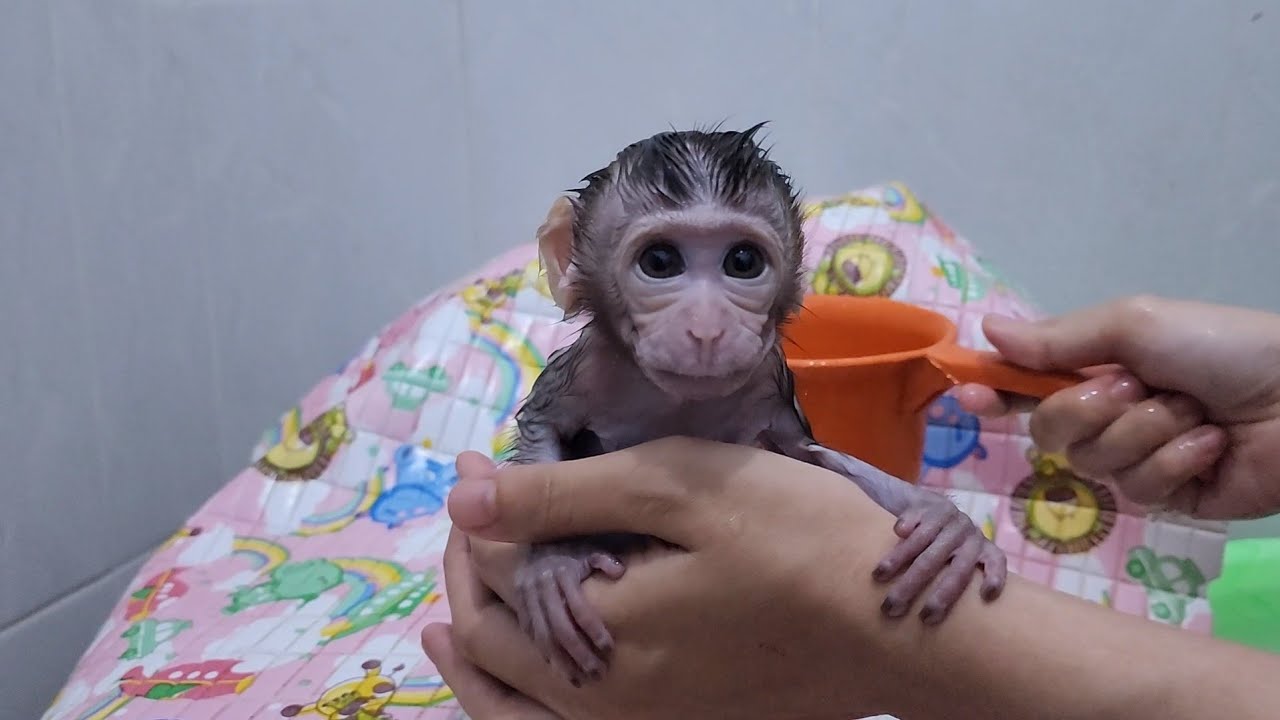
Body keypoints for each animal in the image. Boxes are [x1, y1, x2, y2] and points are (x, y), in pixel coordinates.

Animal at [501, 123, 1007, 685]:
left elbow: (813, 456)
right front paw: (553, 560)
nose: (706, 329)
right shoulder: (589, 368)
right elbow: (542, 425)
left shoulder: (768, 383)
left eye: (742, 262)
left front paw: (943, 523)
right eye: (660, 262)